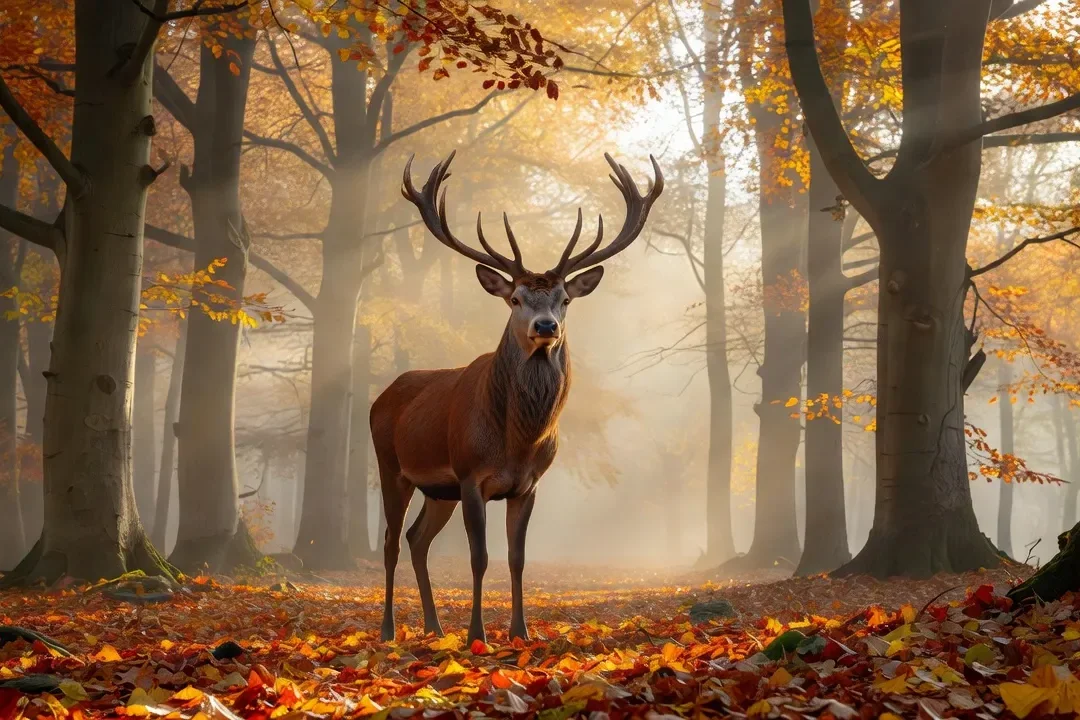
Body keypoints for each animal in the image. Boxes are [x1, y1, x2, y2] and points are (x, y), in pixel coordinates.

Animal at [370, 150, 663, 644]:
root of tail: (379, 398)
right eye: (516, 299)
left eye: (565, 299)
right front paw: (477, 635)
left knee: (417, 539)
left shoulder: (527, 485)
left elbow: (517, 558)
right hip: (392, 466)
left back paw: (433, 626)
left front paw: (521, 632)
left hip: (439, 491)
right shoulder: (470, 475)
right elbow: (479, 558)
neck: (516, 442)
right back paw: (390, 630)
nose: (546, 326)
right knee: (391, 541)